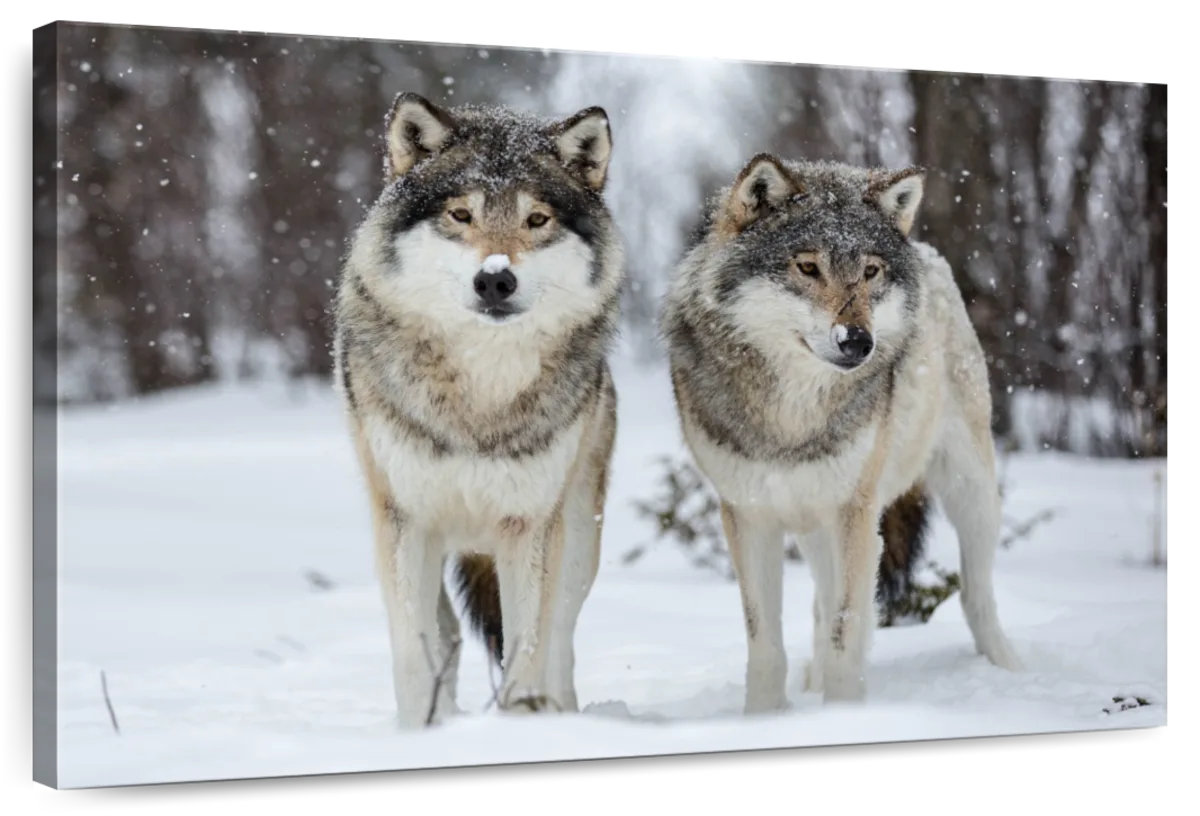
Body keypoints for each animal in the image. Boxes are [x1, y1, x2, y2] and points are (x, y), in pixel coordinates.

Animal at [334, 92, 622, 726]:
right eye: (461, 215)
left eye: (536, 220)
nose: (495, 280)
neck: (480, 396)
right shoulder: (405, 522)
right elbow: (414, 652)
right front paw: (420, 731)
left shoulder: (529, 525)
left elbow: (529, 647)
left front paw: (521, 720)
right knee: (446, 637)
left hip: (577, 538)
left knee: (560, 636)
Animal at [662, 154, 1021, 713]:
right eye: (808, 267)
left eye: (870, 271)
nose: (858, 342)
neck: (792, 415)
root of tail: (929, 253)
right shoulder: (748, 517)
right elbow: (766, 641)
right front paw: (765, 717)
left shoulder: (854, 512)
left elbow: (845, 630)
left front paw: (844, 712)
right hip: (816, 524)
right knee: (820, 603)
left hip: (970, 492)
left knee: (973, 593)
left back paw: (1008, 671)